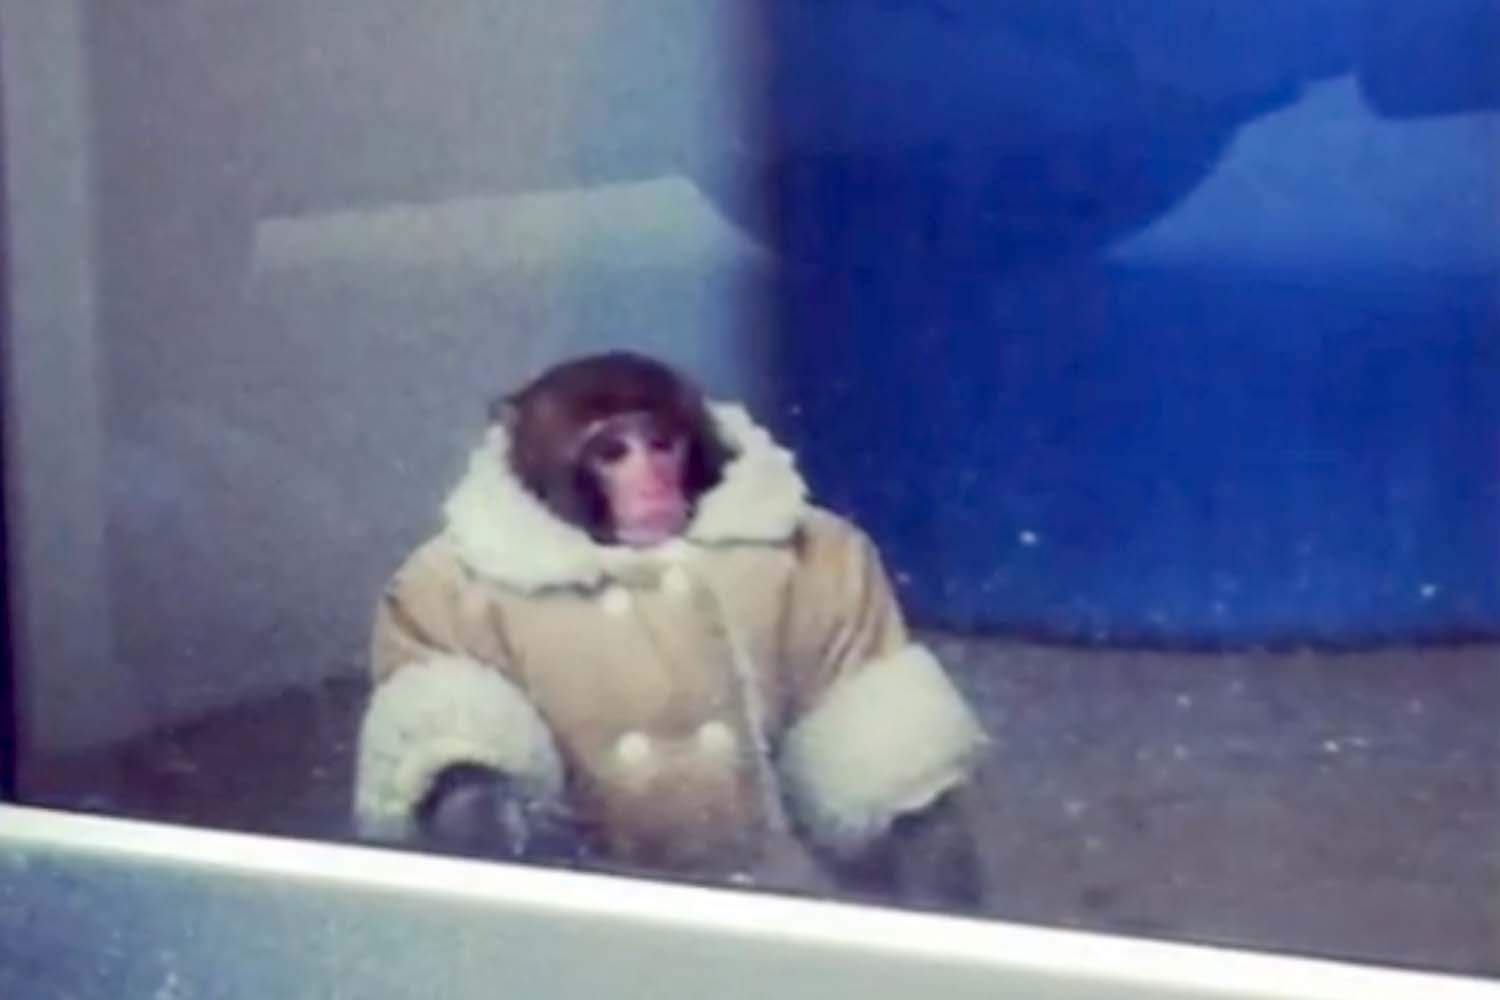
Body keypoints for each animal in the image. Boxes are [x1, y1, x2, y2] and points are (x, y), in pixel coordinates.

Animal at [355, 351, 988, 902]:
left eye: (661, 444)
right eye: (612, 452)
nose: (653, 483)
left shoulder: (841, 566)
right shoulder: (429, 590)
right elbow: (463, 751)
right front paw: (499, 822)